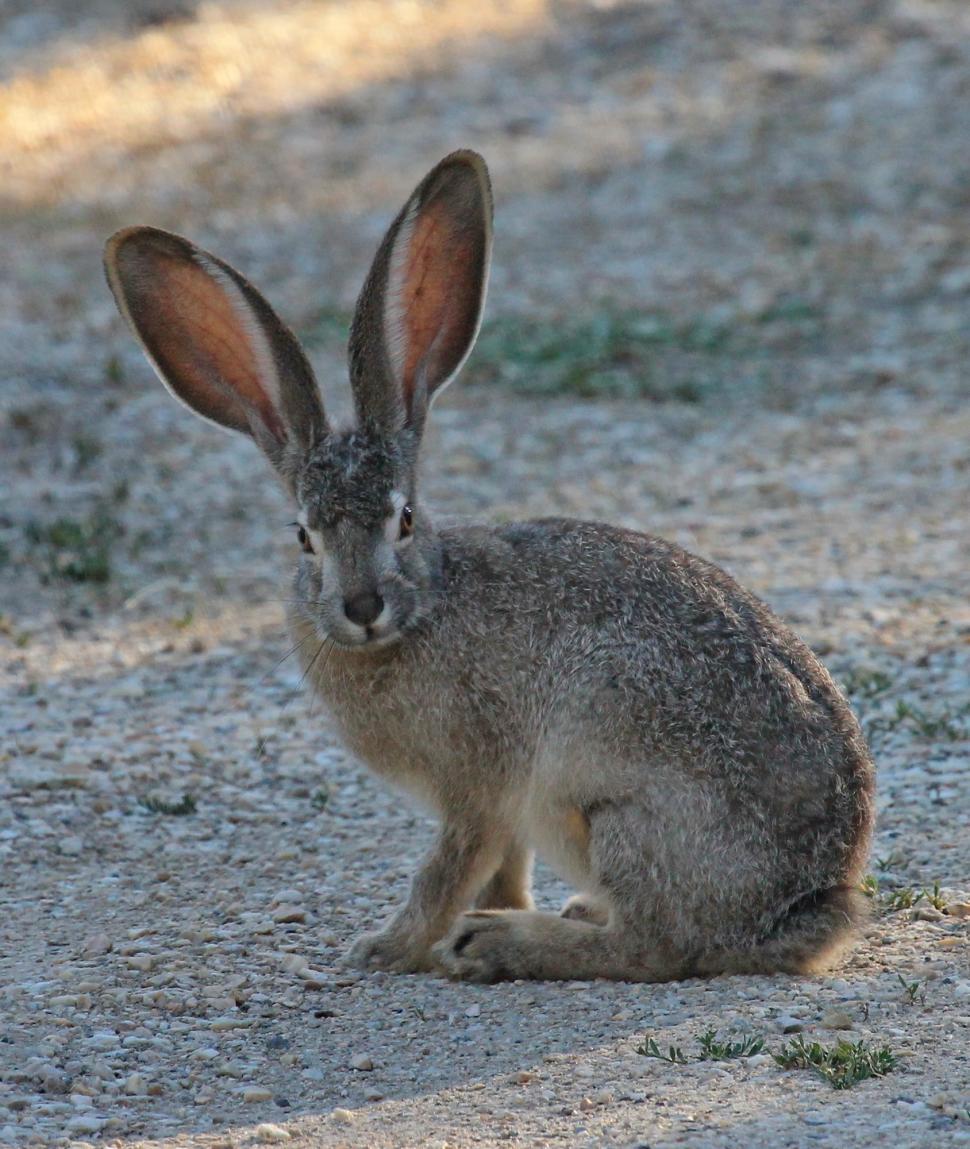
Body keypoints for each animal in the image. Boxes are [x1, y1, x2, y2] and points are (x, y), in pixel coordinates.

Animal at [104, 149, 875, 983]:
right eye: (304, 536)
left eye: (405, 518)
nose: (362, 605)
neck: (424, 607)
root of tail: (813, 901)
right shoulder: (498, 806)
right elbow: (500, 867)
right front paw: (475, 917)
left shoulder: (477, 783)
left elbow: (447, 868)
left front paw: (389, 947)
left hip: (619, 811)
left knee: (658, 943)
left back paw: (502, 943)